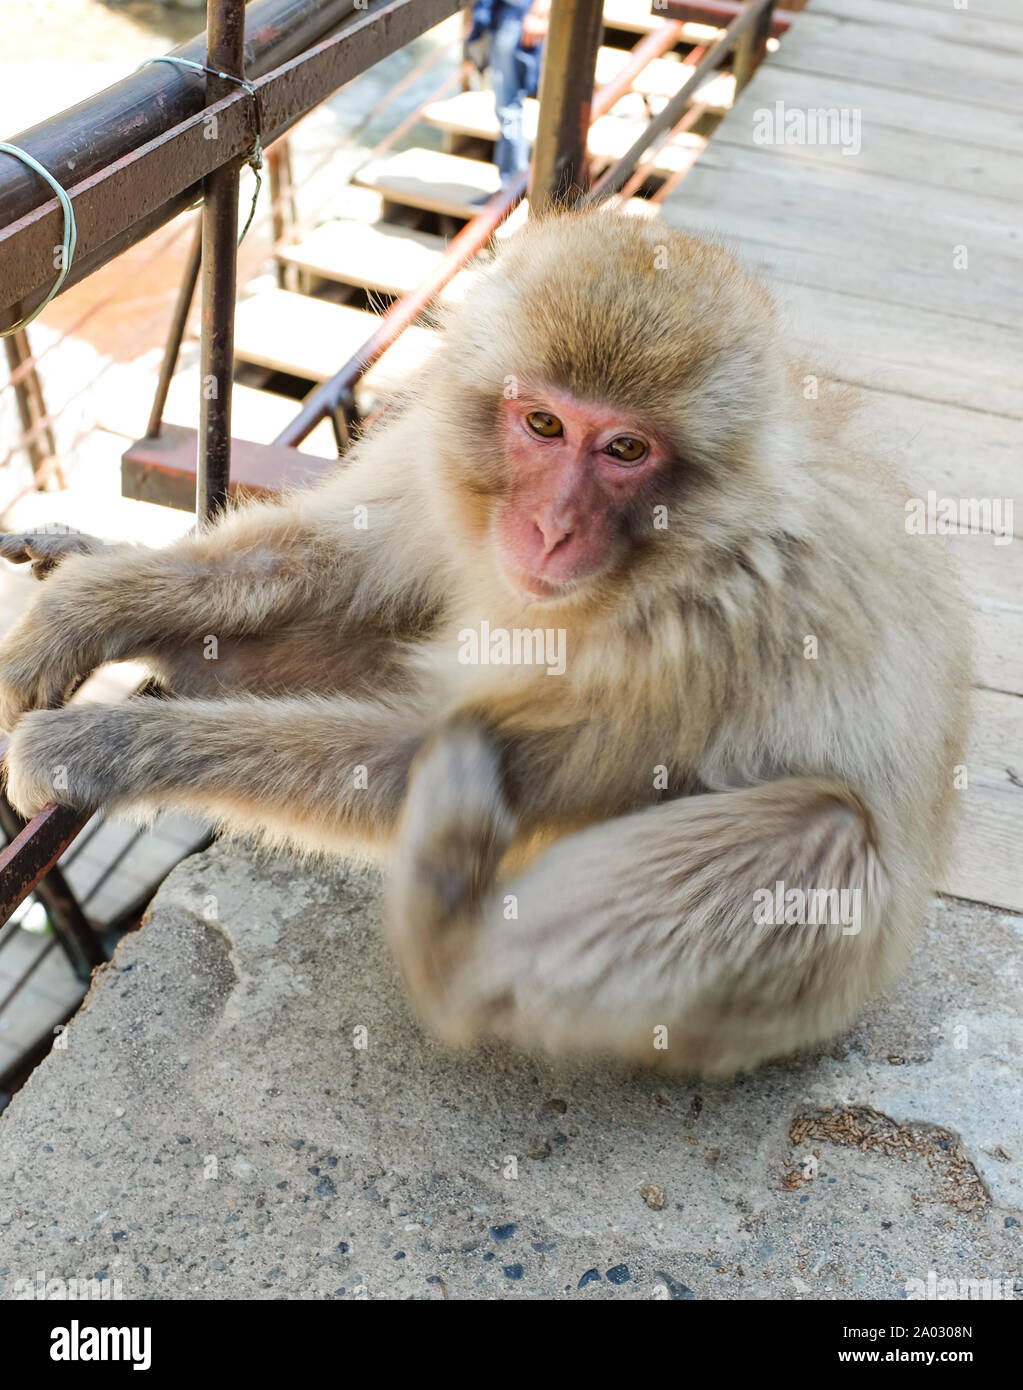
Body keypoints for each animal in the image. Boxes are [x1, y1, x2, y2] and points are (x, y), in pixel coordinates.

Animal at [0, 208, 969, 1075]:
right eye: (542, 425)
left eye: (625, 449)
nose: (549, 530)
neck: (677, 553)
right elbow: (329, 563)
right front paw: (90, 598)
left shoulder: (689, 640)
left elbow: (422, 749)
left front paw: (109, 745)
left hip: (820, 985)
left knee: (823, 837)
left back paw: (453, 943)